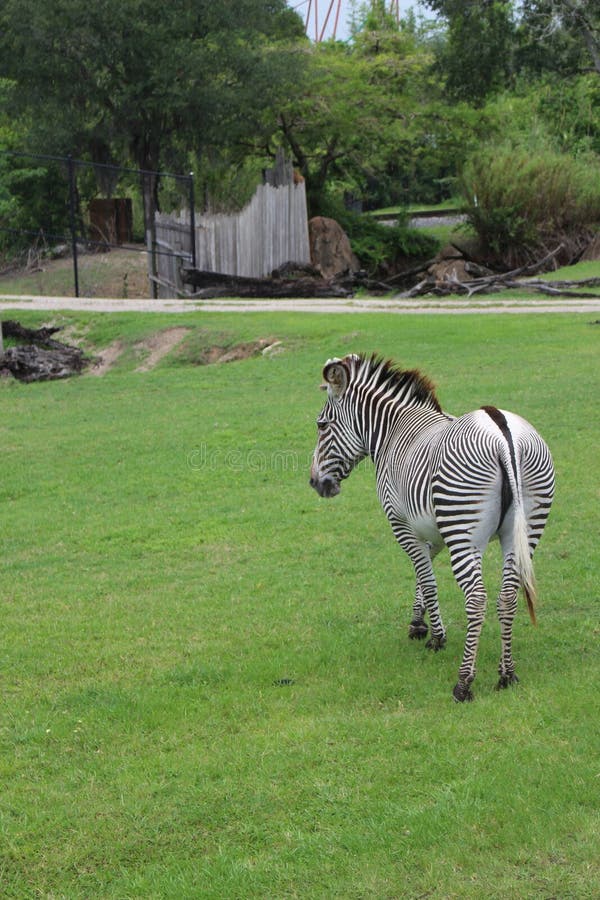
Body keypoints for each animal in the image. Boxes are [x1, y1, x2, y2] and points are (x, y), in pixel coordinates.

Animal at [309, 353, 555, 702]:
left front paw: (436, 636)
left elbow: (426, 579)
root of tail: (501, 432)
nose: (315, 483)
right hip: (525, 528)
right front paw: (418, 622)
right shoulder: (435, 529)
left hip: (464, 532)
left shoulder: (402, 525)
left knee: (476, 599)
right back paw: (507, 674)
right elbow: (422, 571)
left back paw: (463, 683)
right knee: (507, 595)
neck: (393, 431)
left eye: (321, 425)